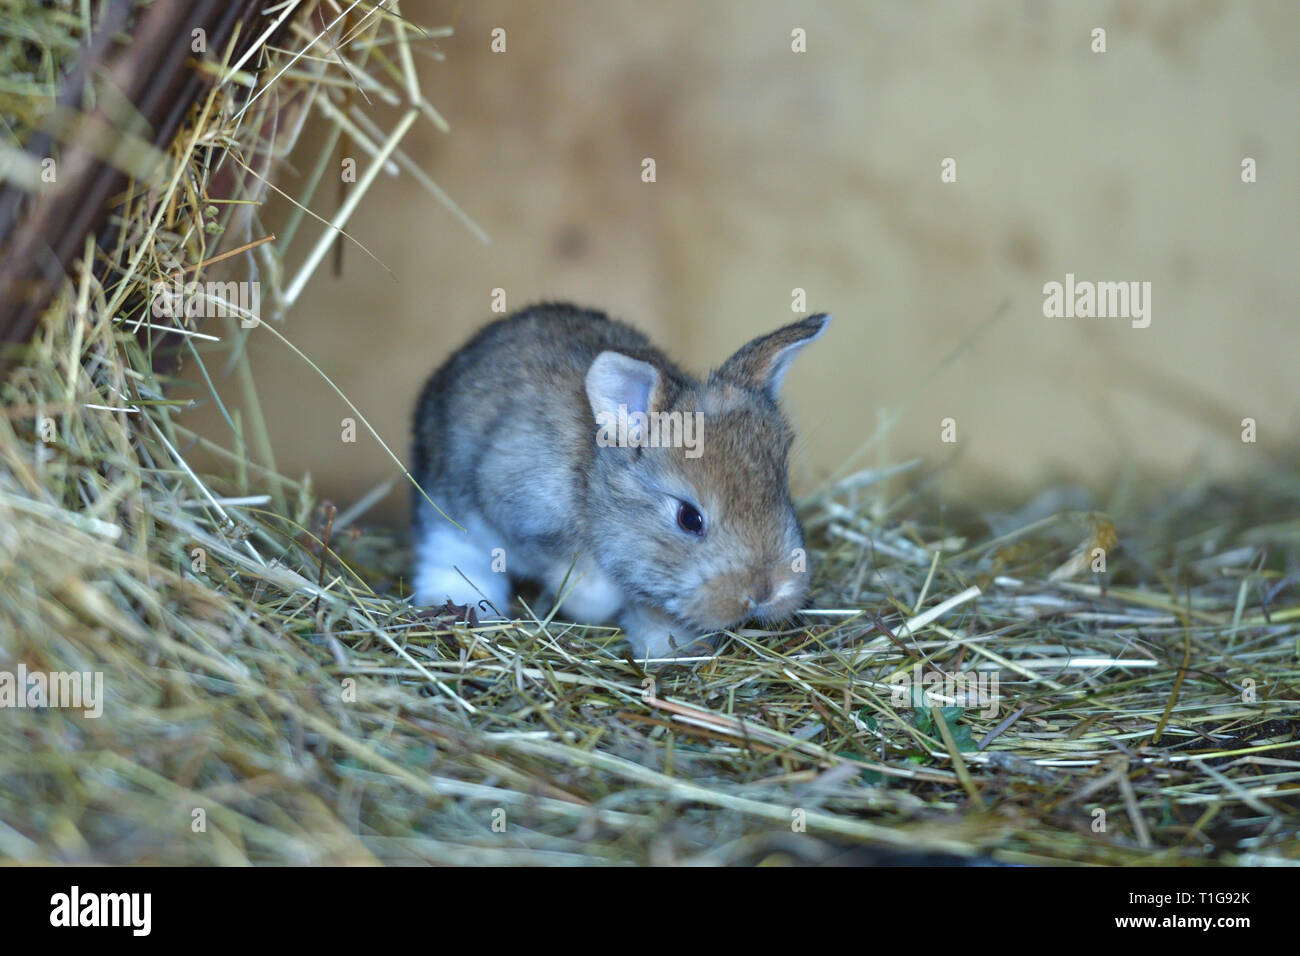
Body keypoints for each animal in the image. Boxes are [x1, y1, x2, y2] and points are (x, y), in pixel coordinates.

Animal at [410, 302, 829, 659]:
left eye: (781, 493)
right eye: (689, 518)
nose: (764, 591)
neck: (593, 484)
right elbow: (587, 587)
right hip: (448, 510)